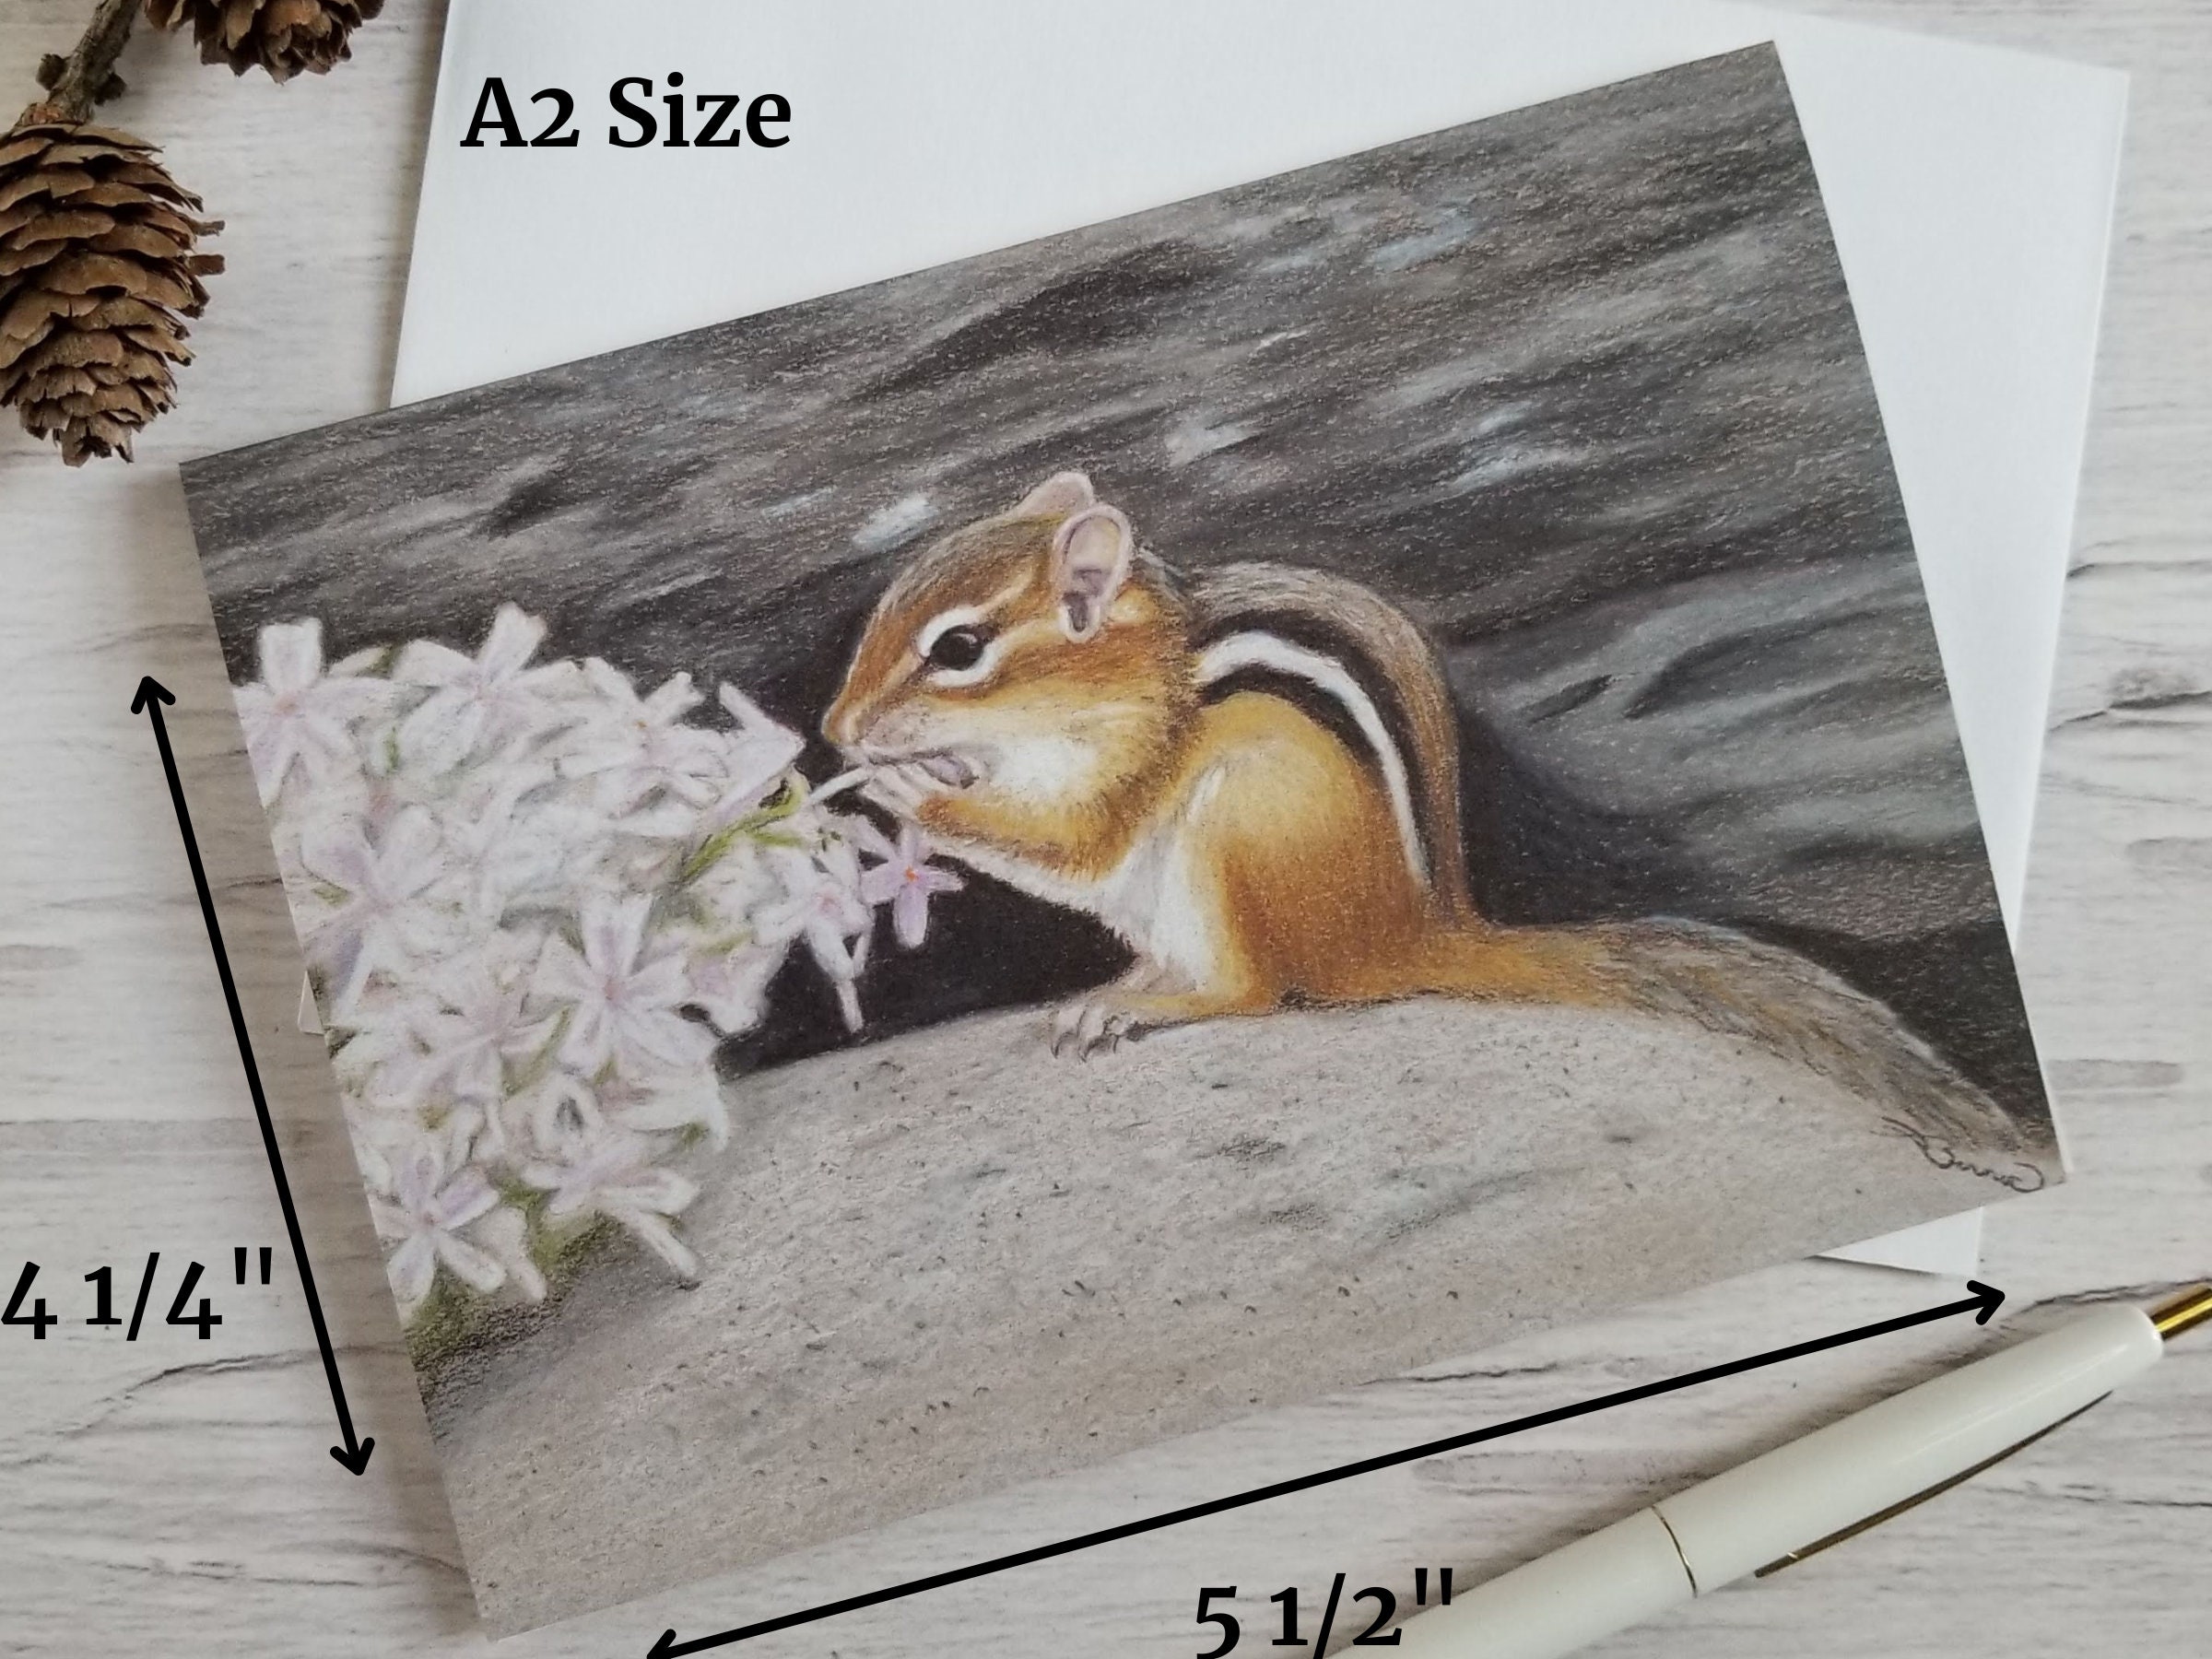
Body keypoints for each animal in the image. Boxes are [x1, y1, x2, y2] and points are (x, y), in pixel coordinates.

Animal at [822, 470, 2029, 1158]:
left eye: (960, 648)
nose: (834, 726)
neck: (1130, 676)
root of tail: (1413, 935)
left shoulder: (1137, 768)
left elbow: (1076, 841)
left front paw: (906, 787)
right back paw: (1121, 985)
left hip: (1234, 824)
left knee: (1255, 993)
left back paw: (1150, 1005)